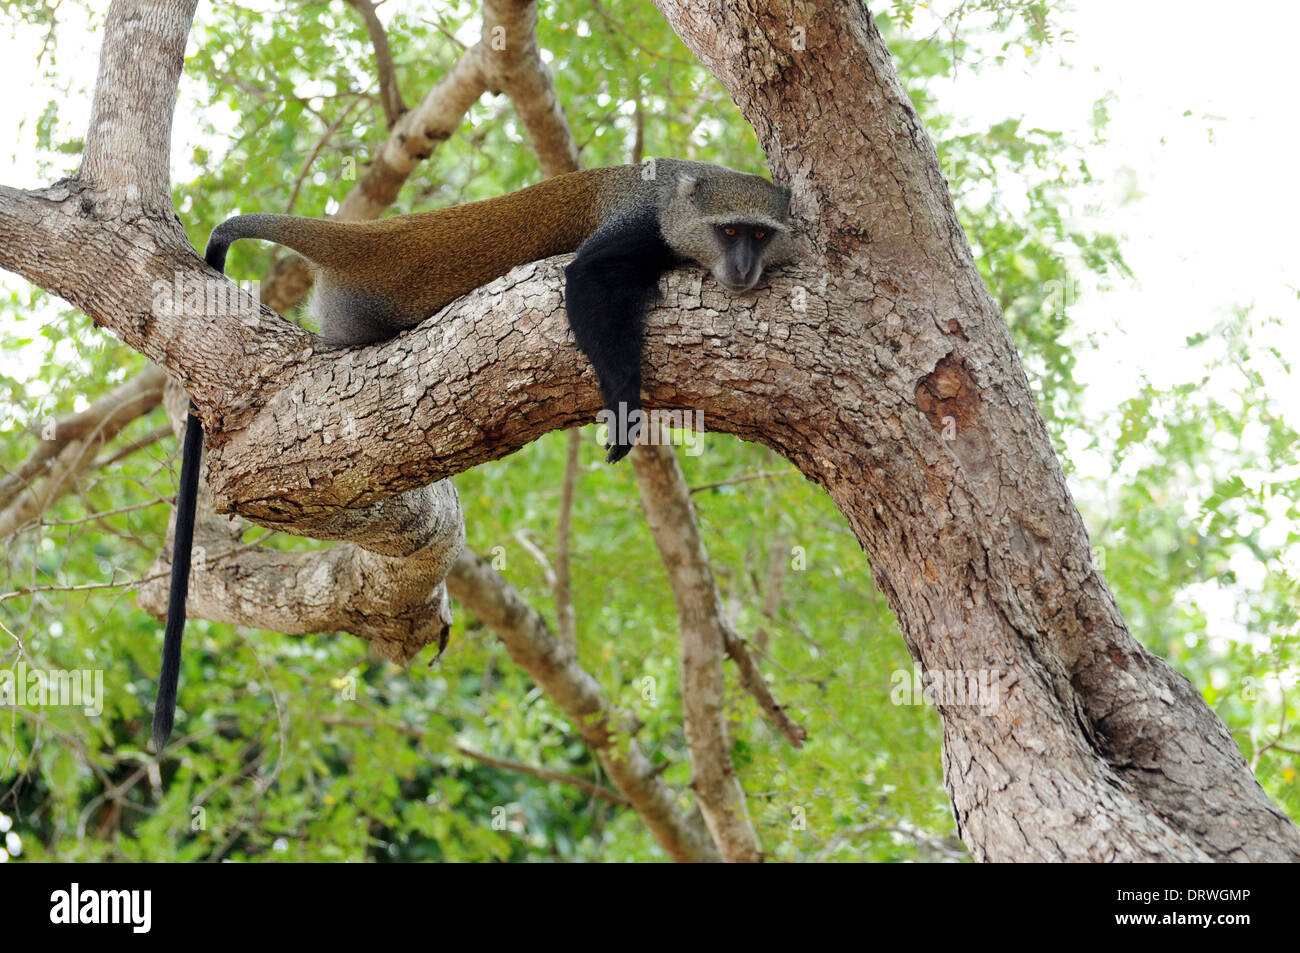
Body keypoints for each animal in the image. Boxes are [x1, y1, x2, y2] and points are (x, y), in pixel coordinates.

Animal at [152, 159, 793, 751]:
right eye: (729, 231)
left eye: (759, 235)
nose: (743, 269)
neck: (674, 193)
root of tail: (364, 241)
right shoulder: (635, 229)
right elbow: (585, 280)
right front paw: (623, 411)